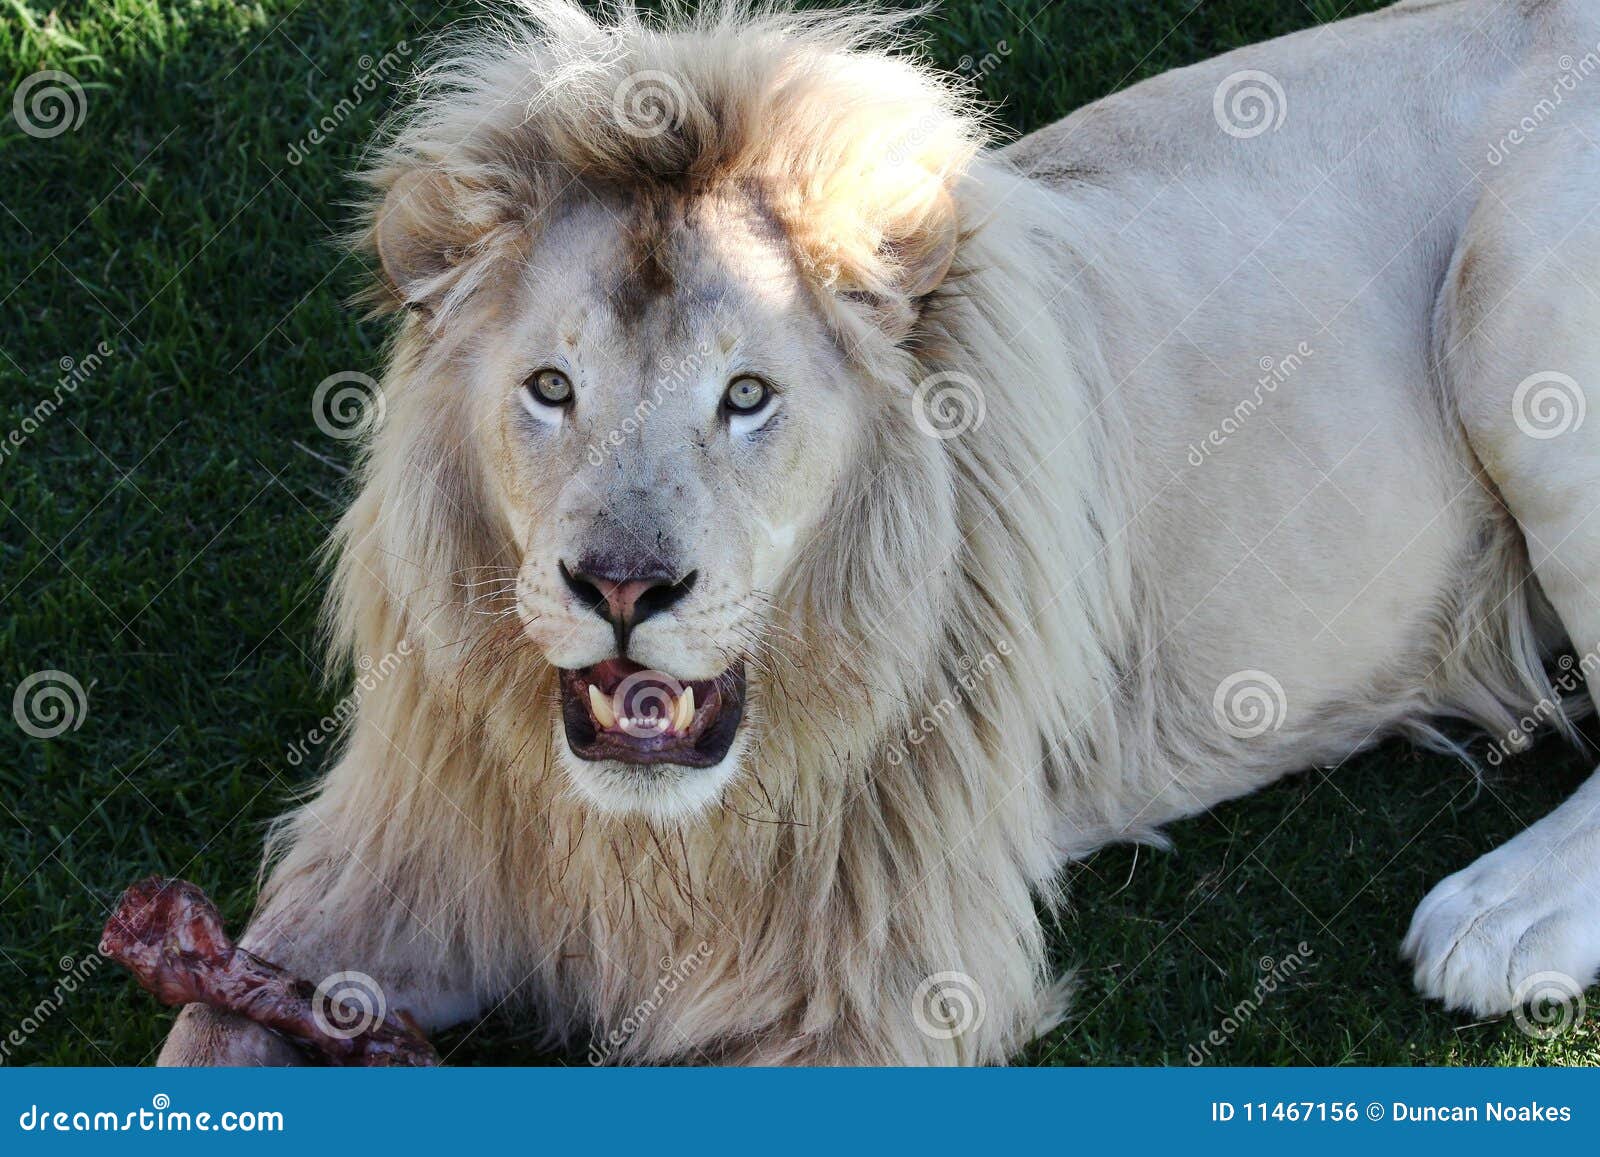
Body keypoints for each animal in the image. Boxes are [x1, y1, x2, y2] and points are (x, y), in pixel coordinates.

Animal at [160, 0, 1600, 1065]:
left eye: (747, 396)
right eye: (551, 389)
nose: (622, 586)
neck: (649, 837)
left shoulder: (886, 980)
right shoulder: (387, 872)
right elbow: (206, 1031)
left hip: (1517, 324)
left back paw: (1497, 918)